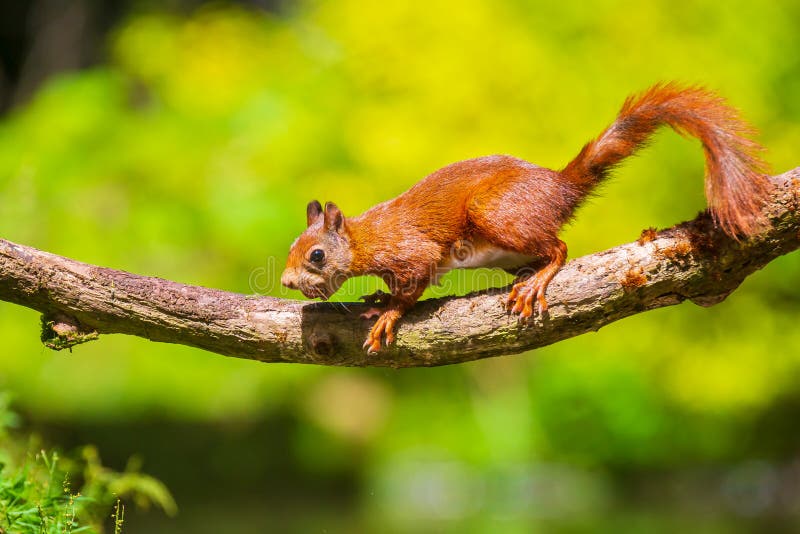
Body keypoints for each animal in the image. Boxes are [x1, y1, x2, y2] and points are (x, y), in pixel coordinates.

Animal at [280, 84, 768, 354]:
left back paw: (537, 280)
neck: (365, 238)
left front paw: (389, 312)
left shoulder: (412, 252)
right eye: (290, 249)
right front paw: (380, 298)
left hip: (497, 214)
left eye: (317, 255)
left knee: (559, 248)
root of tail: (559, 187)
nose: (285, 281)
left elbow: (414, 285)